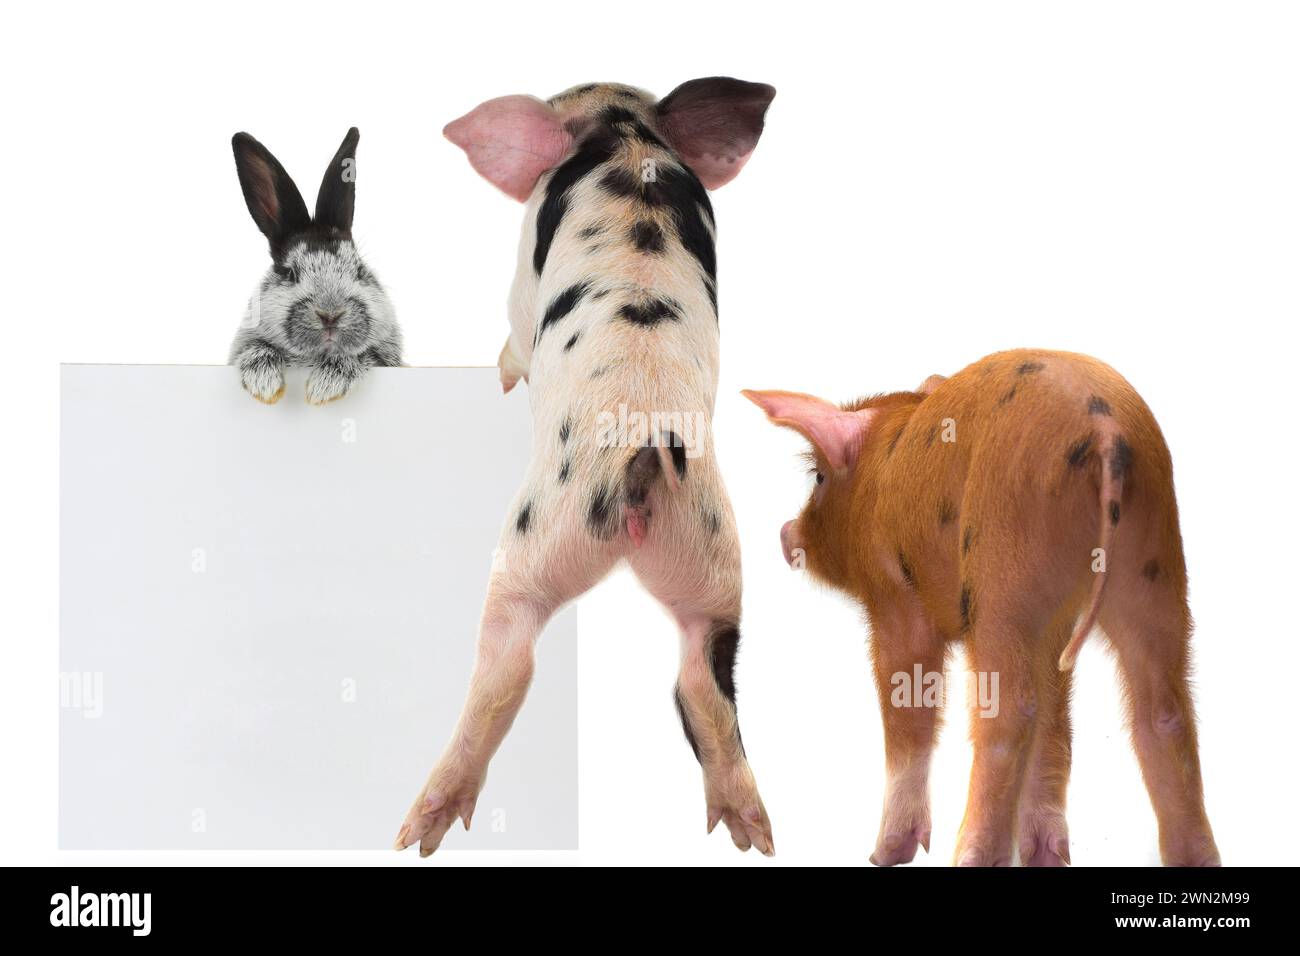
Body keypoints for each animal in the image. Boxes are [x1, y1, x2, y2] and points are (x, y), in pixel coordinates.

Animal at [394, 80, 777, 857]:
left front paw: (502, 375)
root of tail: (640, 451)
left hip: (536, 537)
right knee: (703, 674)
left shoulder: (521, 273)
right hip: (714, 551)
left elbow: (515, 322)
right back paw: (751, 831)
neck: (623, 125)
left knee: (505, 662)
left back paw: (418, 829)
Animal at [745, 349, 1220, 867]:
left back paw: (967, 855)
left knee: (1010, 714)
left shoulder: (896, 599)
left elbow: (909, 707)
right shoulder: (1055, 624)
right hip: (1152, 563)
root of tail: (1105, 429)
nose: (784, 532)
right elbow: (1056, 718)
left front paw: (882, 855)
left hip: (1002, 577)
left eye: (817, 477)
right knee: (1162, 712)